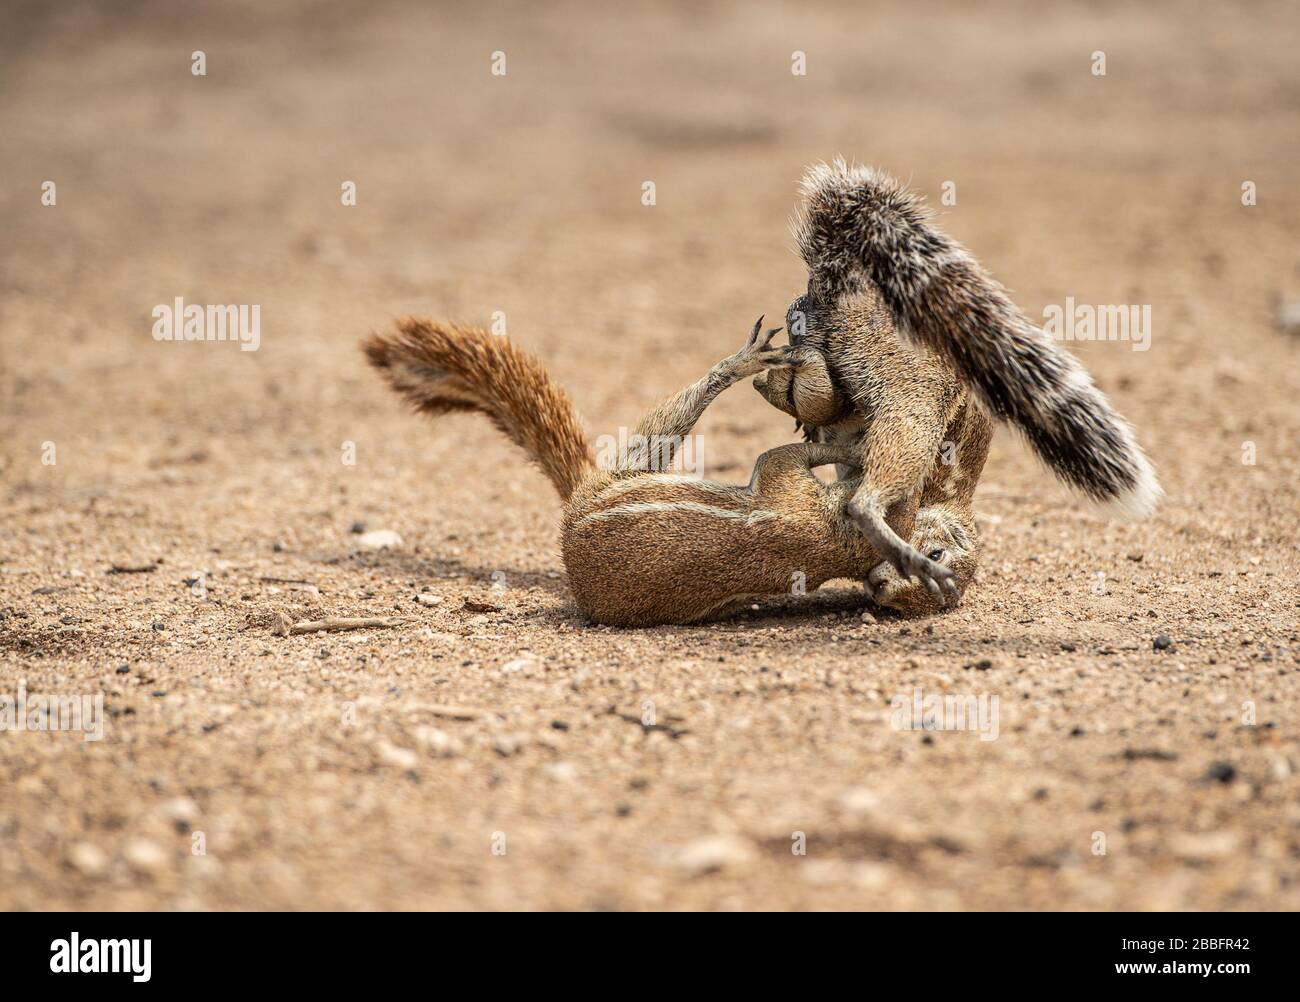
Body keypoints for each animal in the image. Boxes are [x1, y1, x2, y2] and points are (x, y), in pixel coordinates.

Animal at [363, 317, 960, 626]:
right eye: (939, 547)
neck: (841, 550)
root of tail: (570, 518)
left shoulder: (788, 483)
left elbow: (782, 457)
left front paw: (850, 450)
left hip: (633, 463)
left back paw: (740, 362)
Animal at [762, 160, 1161, 603]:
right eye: (937, 552)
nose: (881, 589)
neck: (946, 506)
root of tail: (841, 288)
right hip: (915, 404)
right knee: (869, 494)